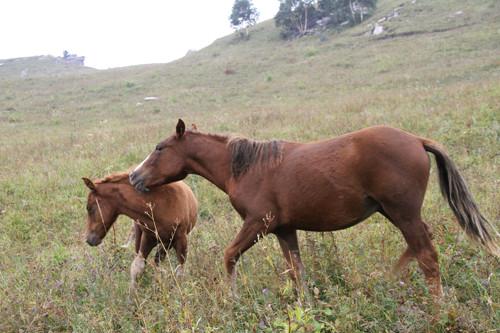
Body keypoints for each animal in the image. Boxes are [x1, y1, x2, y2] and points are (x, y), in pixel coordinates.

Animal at [128, 118, 496, 296]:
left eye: (160, 148)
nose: (134, 176)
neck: (248, 167)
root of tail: (418, 140)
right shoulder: (284, 230)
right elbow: (297, 272)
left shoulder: (258, 223)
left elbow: (230, 256)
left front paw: (232, 297)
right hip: (394, 213)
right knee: (419, 247)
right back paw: (388, 278)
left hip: (403, 214)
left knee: (428, 257)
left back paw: (437, 306)